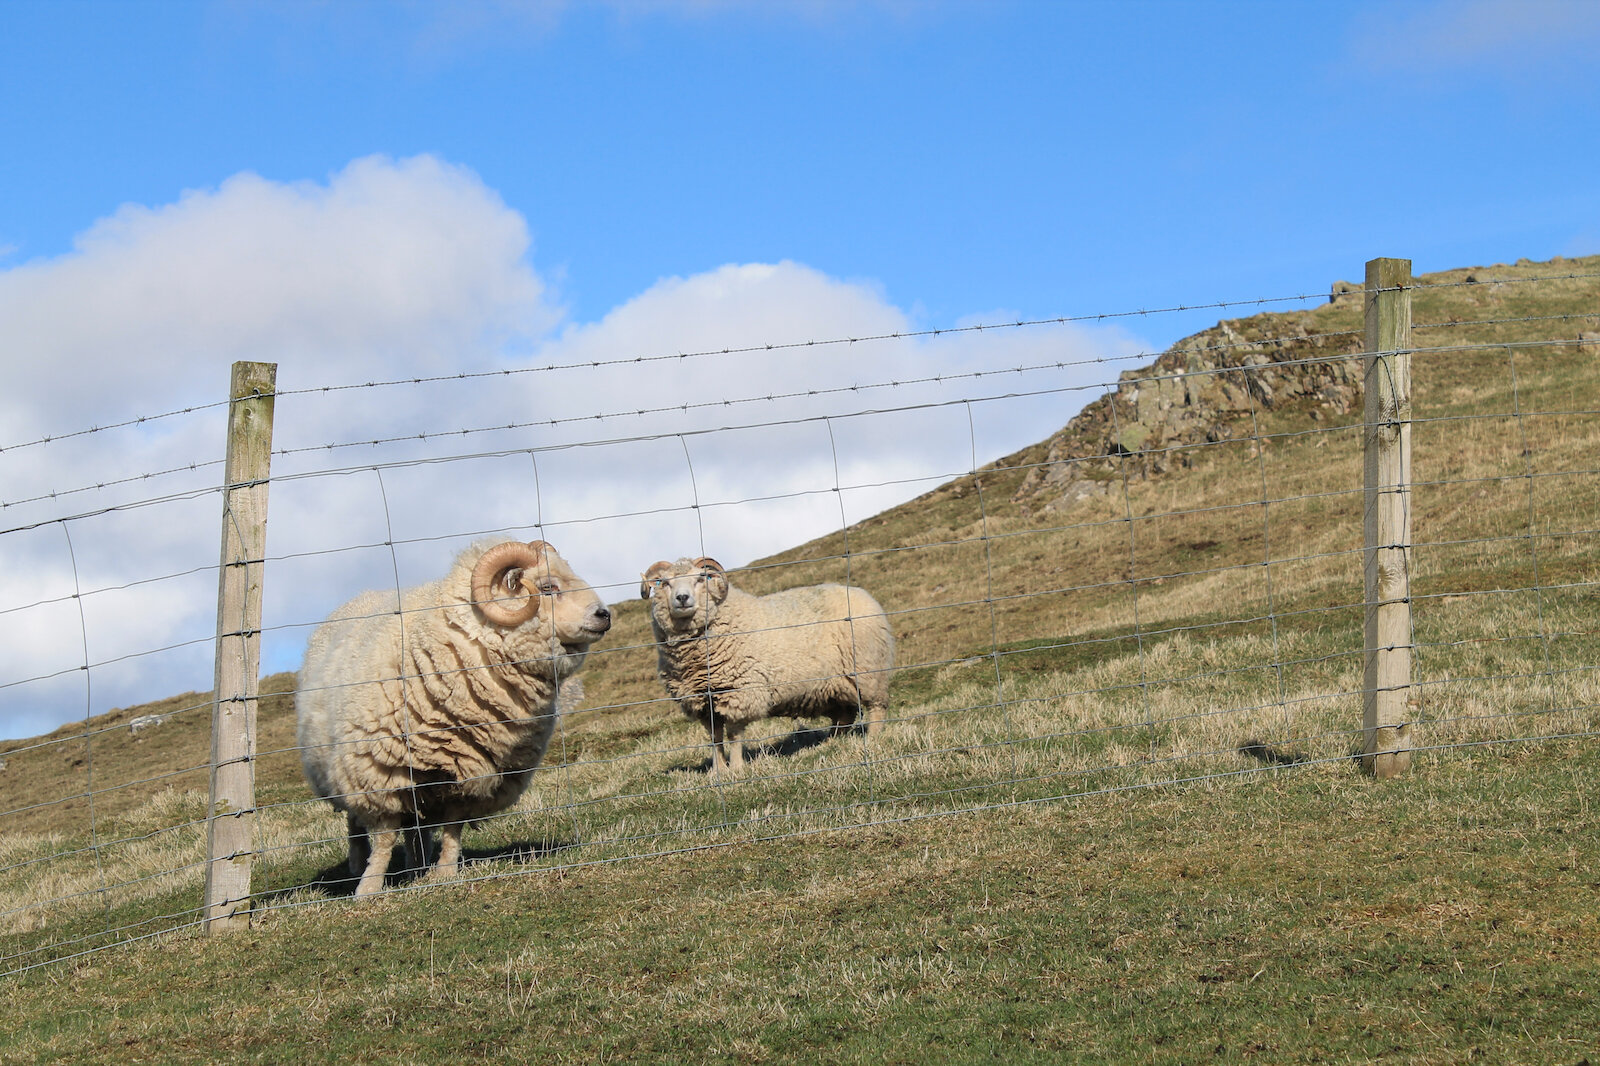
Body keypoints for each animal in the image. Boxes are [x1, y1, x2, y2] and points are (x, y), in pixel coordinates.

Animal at [296, 539, 612, 897]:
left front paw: (445, 872)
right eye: (547, 587)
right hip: (339, 767)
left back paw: (417, 866)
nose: (604, 615)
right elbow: (385, 837)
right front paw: (368, 888)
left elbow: (453, 827)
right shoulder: (377, 772)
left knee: (416, 827)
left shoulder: (471, 771)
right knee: (356, 823)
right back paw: (357, 863)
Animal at [640, 557, 895, 772]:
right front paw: (718, 771)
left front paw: (737, 769)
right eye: (665, 583)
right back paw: (831, 742)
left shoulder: (739, 694)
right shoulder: (703, 702)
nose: (682, 598)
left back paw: (871, 738)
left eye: (701, 579)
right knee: (844, 715)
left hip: (869, 671)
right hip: (833, 686)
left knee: (876, 708)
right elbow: (714, 738)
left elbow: (733, 735)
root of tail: (861, 592)